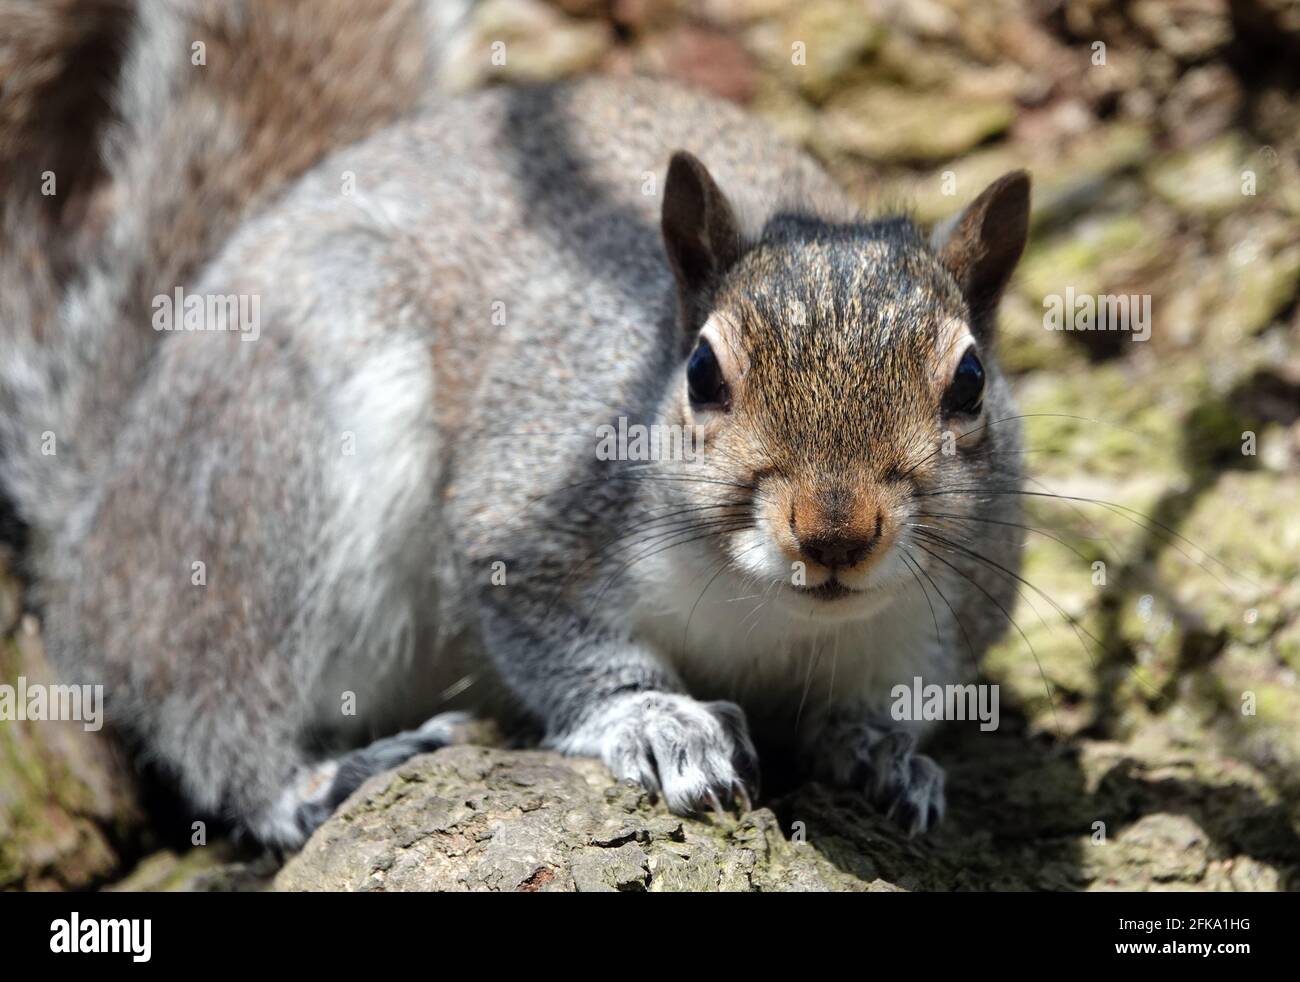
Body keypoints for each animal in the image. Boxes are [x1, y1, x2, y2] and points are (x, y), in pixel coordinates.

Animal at [0, 0, 1029, 847]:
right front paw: (655, 722)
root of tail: (98, 525)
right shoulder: (524, 514)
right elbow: (559, 647)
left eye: (971, 381)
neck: (775, 616)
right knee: (210, 692)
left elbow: (890, 702)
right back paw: (313, 780)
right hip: (268, 470)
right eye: (701, 372)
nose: (834, 534)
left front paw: (879, 751)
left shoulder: (949, 614)